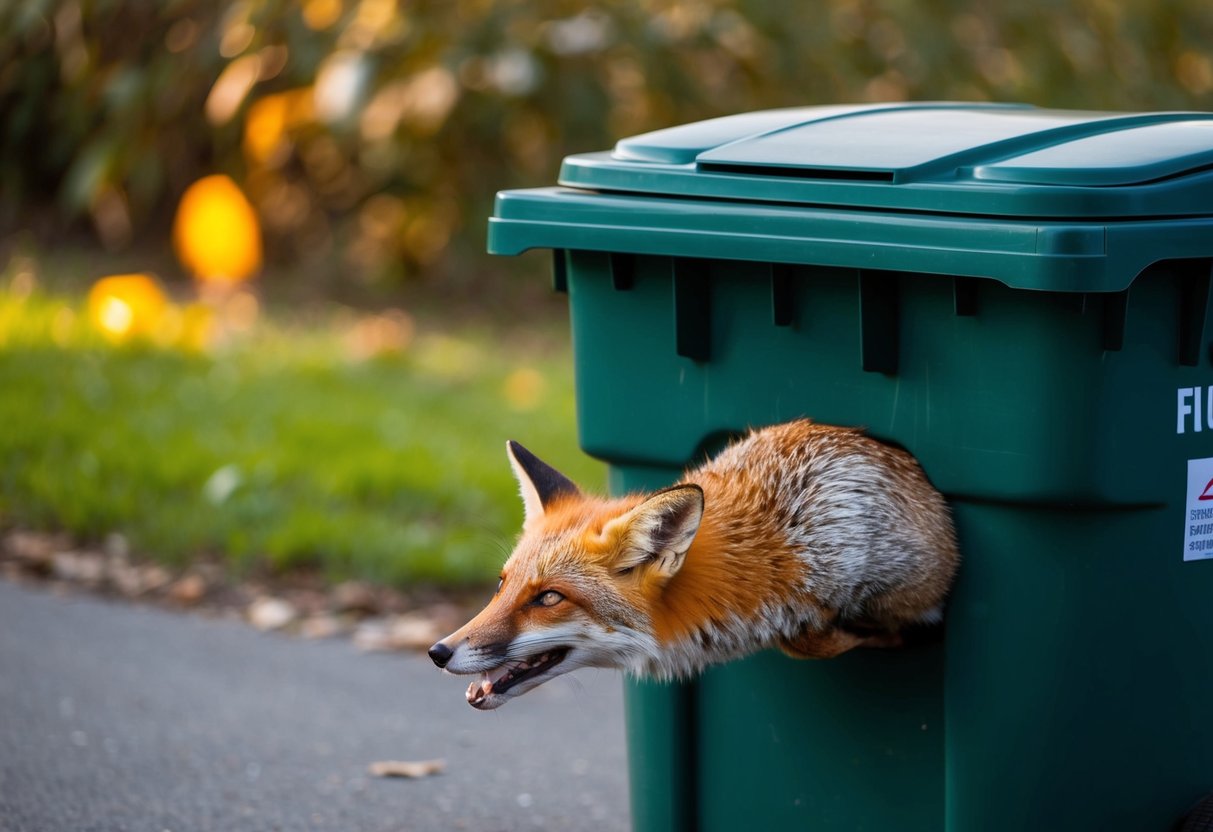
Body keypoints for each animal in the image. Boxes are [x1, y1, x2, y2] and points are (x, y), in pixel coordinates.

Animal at [428, 419, 958, 710]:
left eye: (549, 597)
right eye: (501, 585)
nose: (437, 652)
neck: (785, 543)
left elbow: (809, 640)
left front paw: (880, 635)